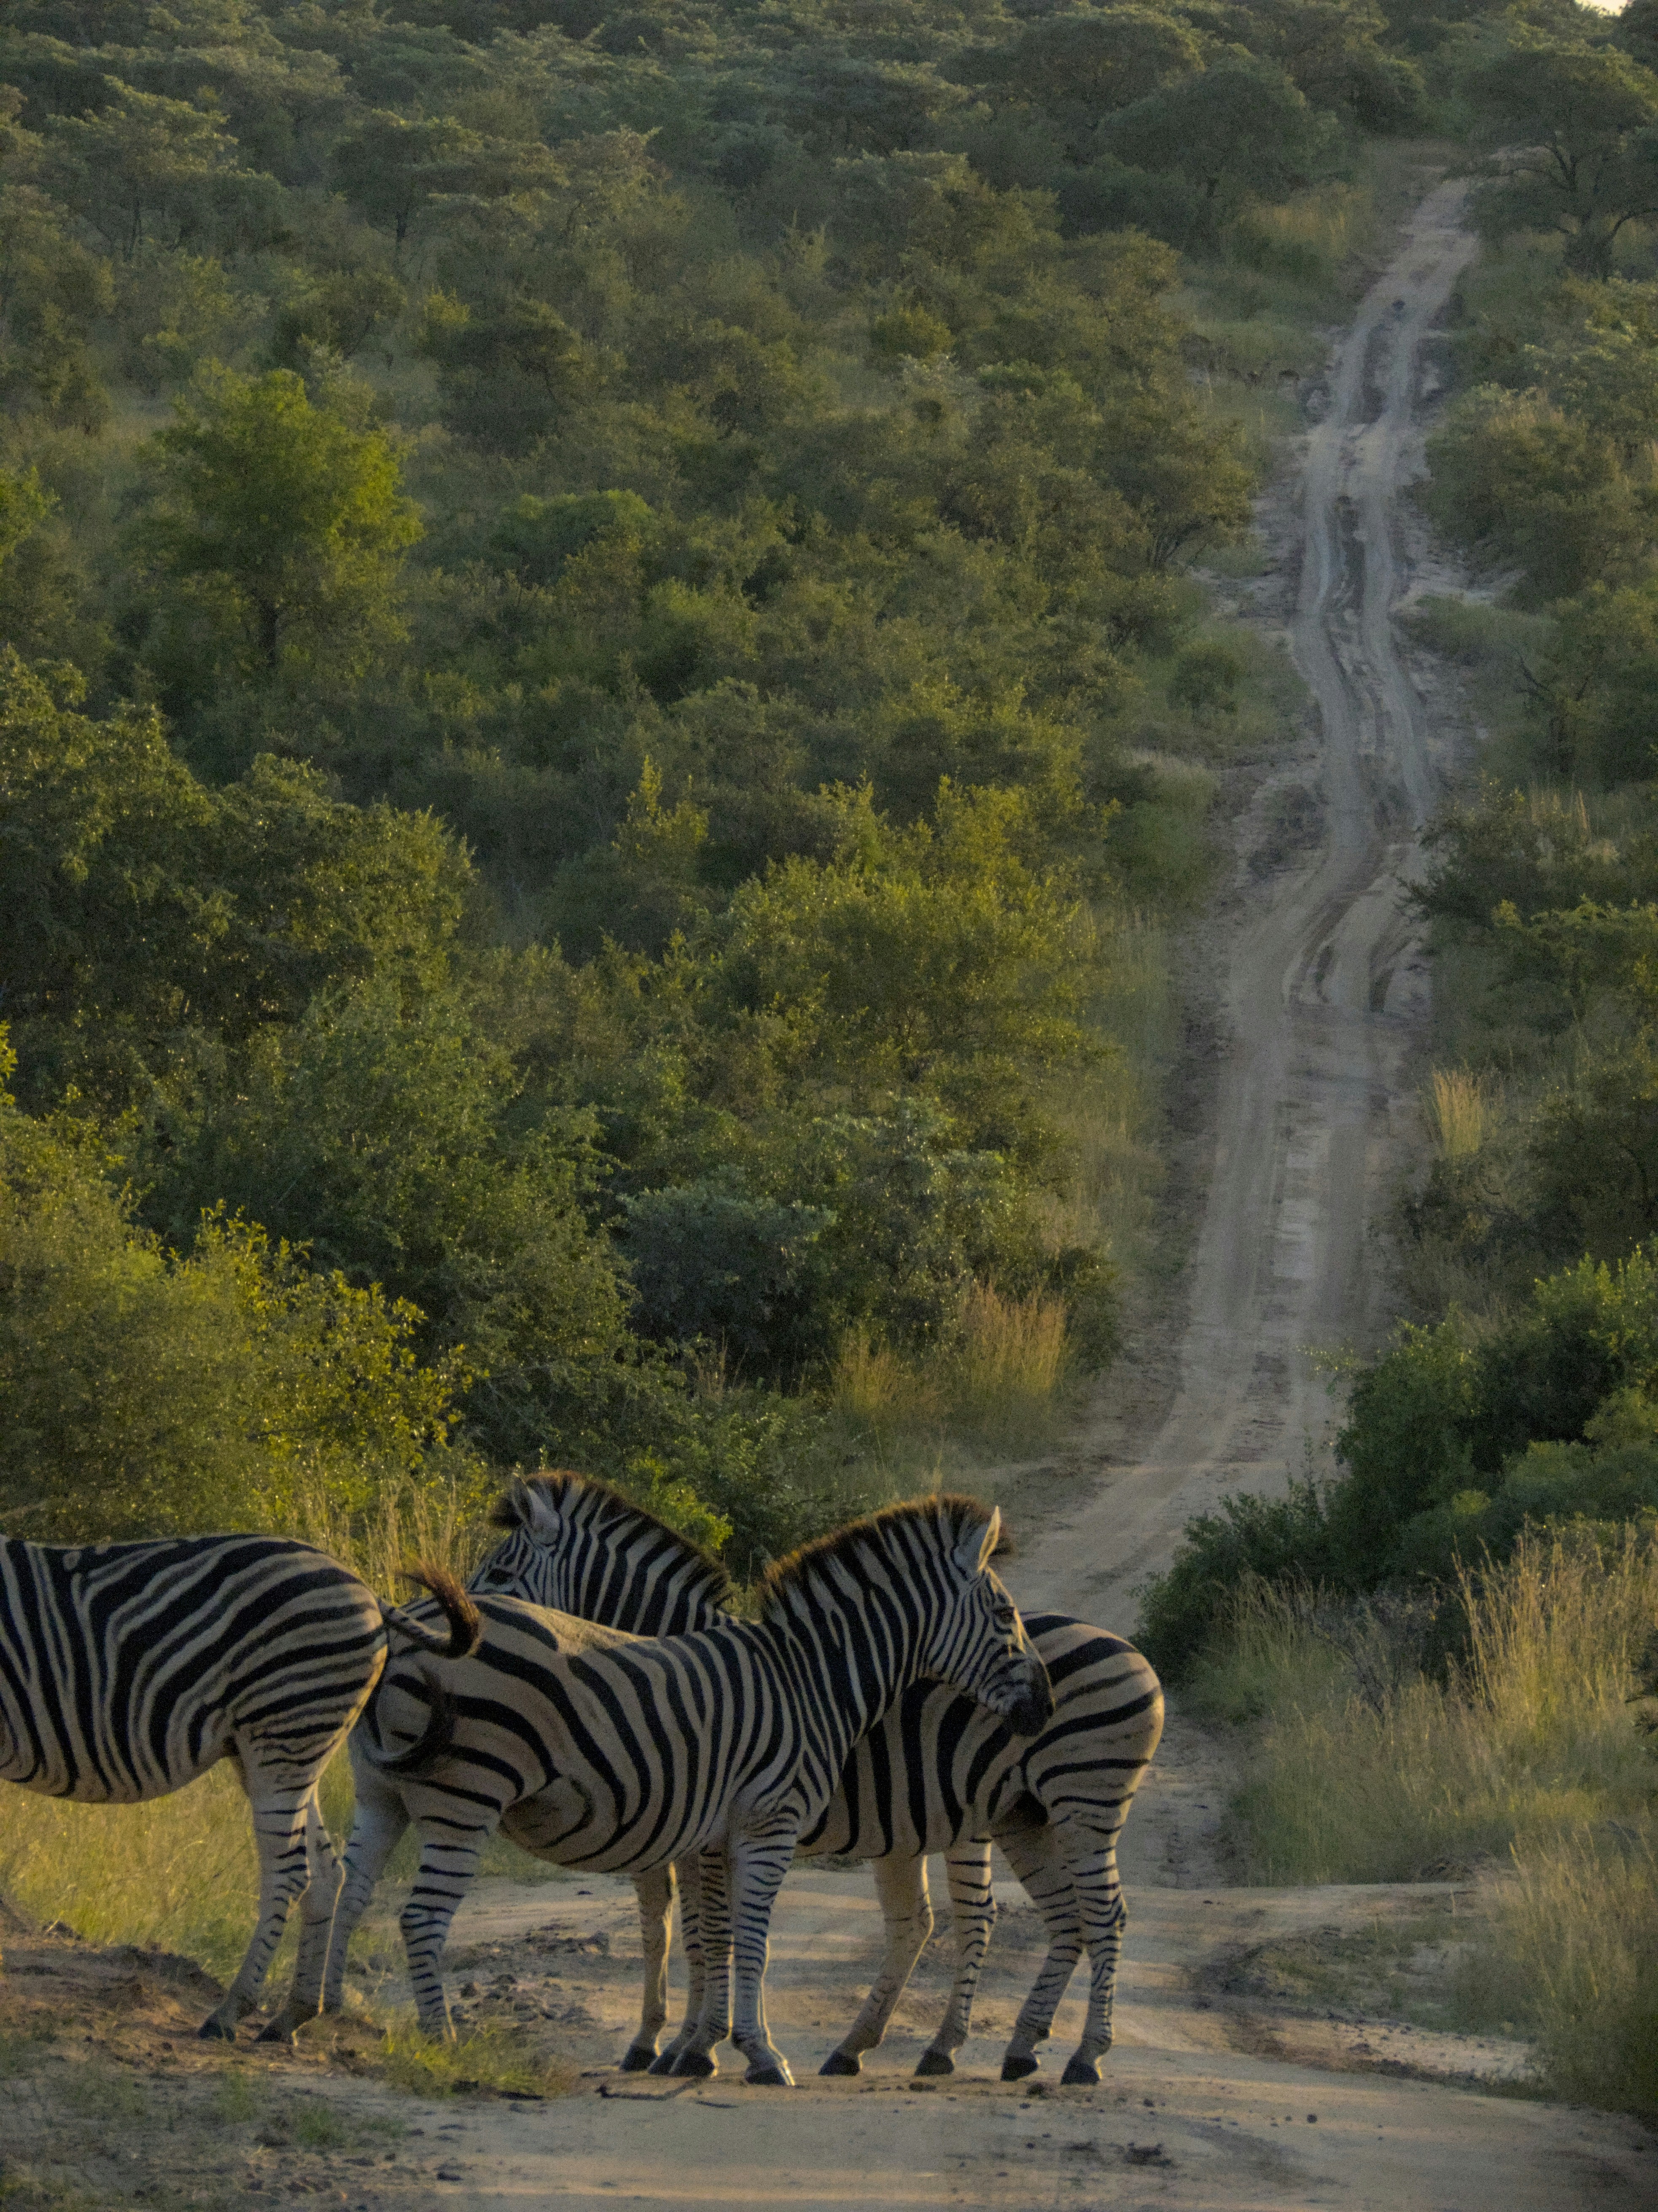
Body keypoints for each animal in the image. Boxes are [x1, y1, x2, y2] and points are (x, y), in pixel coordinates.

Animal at [0, 1534, 479, 2042]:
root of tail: (363, 1586)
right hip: (292, 1748)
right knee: (327, 1871)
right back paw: (292, 2014)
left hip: (285, 1729)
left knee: (289, 1873)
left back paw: (230, 2012)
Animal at [472, 1470, 1162, 2085]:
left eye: (501, 1574)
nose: (469, 1628)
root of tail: (1135, 1653)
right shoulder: (697, 1831)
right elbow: (689, 1932)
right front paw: (683, 2041)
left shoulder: (710, 1829)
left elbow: (705, 1932)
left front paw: (693, 2044)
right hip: (1023, 1815)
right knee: (1057, 1918)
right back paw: (1000, 2048)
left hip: (1081, 1802)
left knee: (1093, 1915)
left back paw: (1076, 2056)